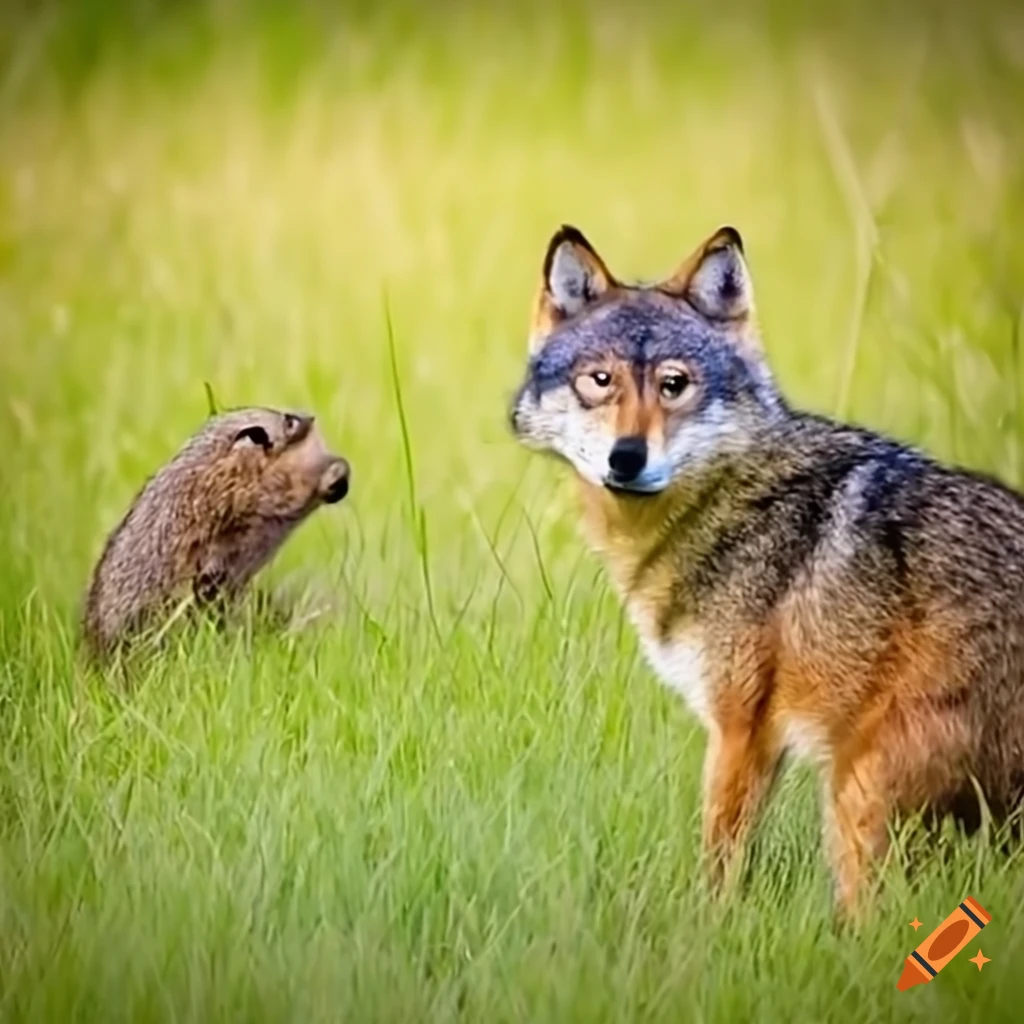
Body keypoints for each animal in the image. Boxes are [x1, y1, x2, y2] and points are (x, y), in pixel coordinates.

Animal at [509, 224, 1024, 916]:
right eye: (599, 380)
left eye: (675, 384)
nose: (627, 457)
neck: (725, 499)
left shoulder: (740, 727)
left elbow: (721, 860)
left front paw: (707, 926)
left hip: (855, 798)